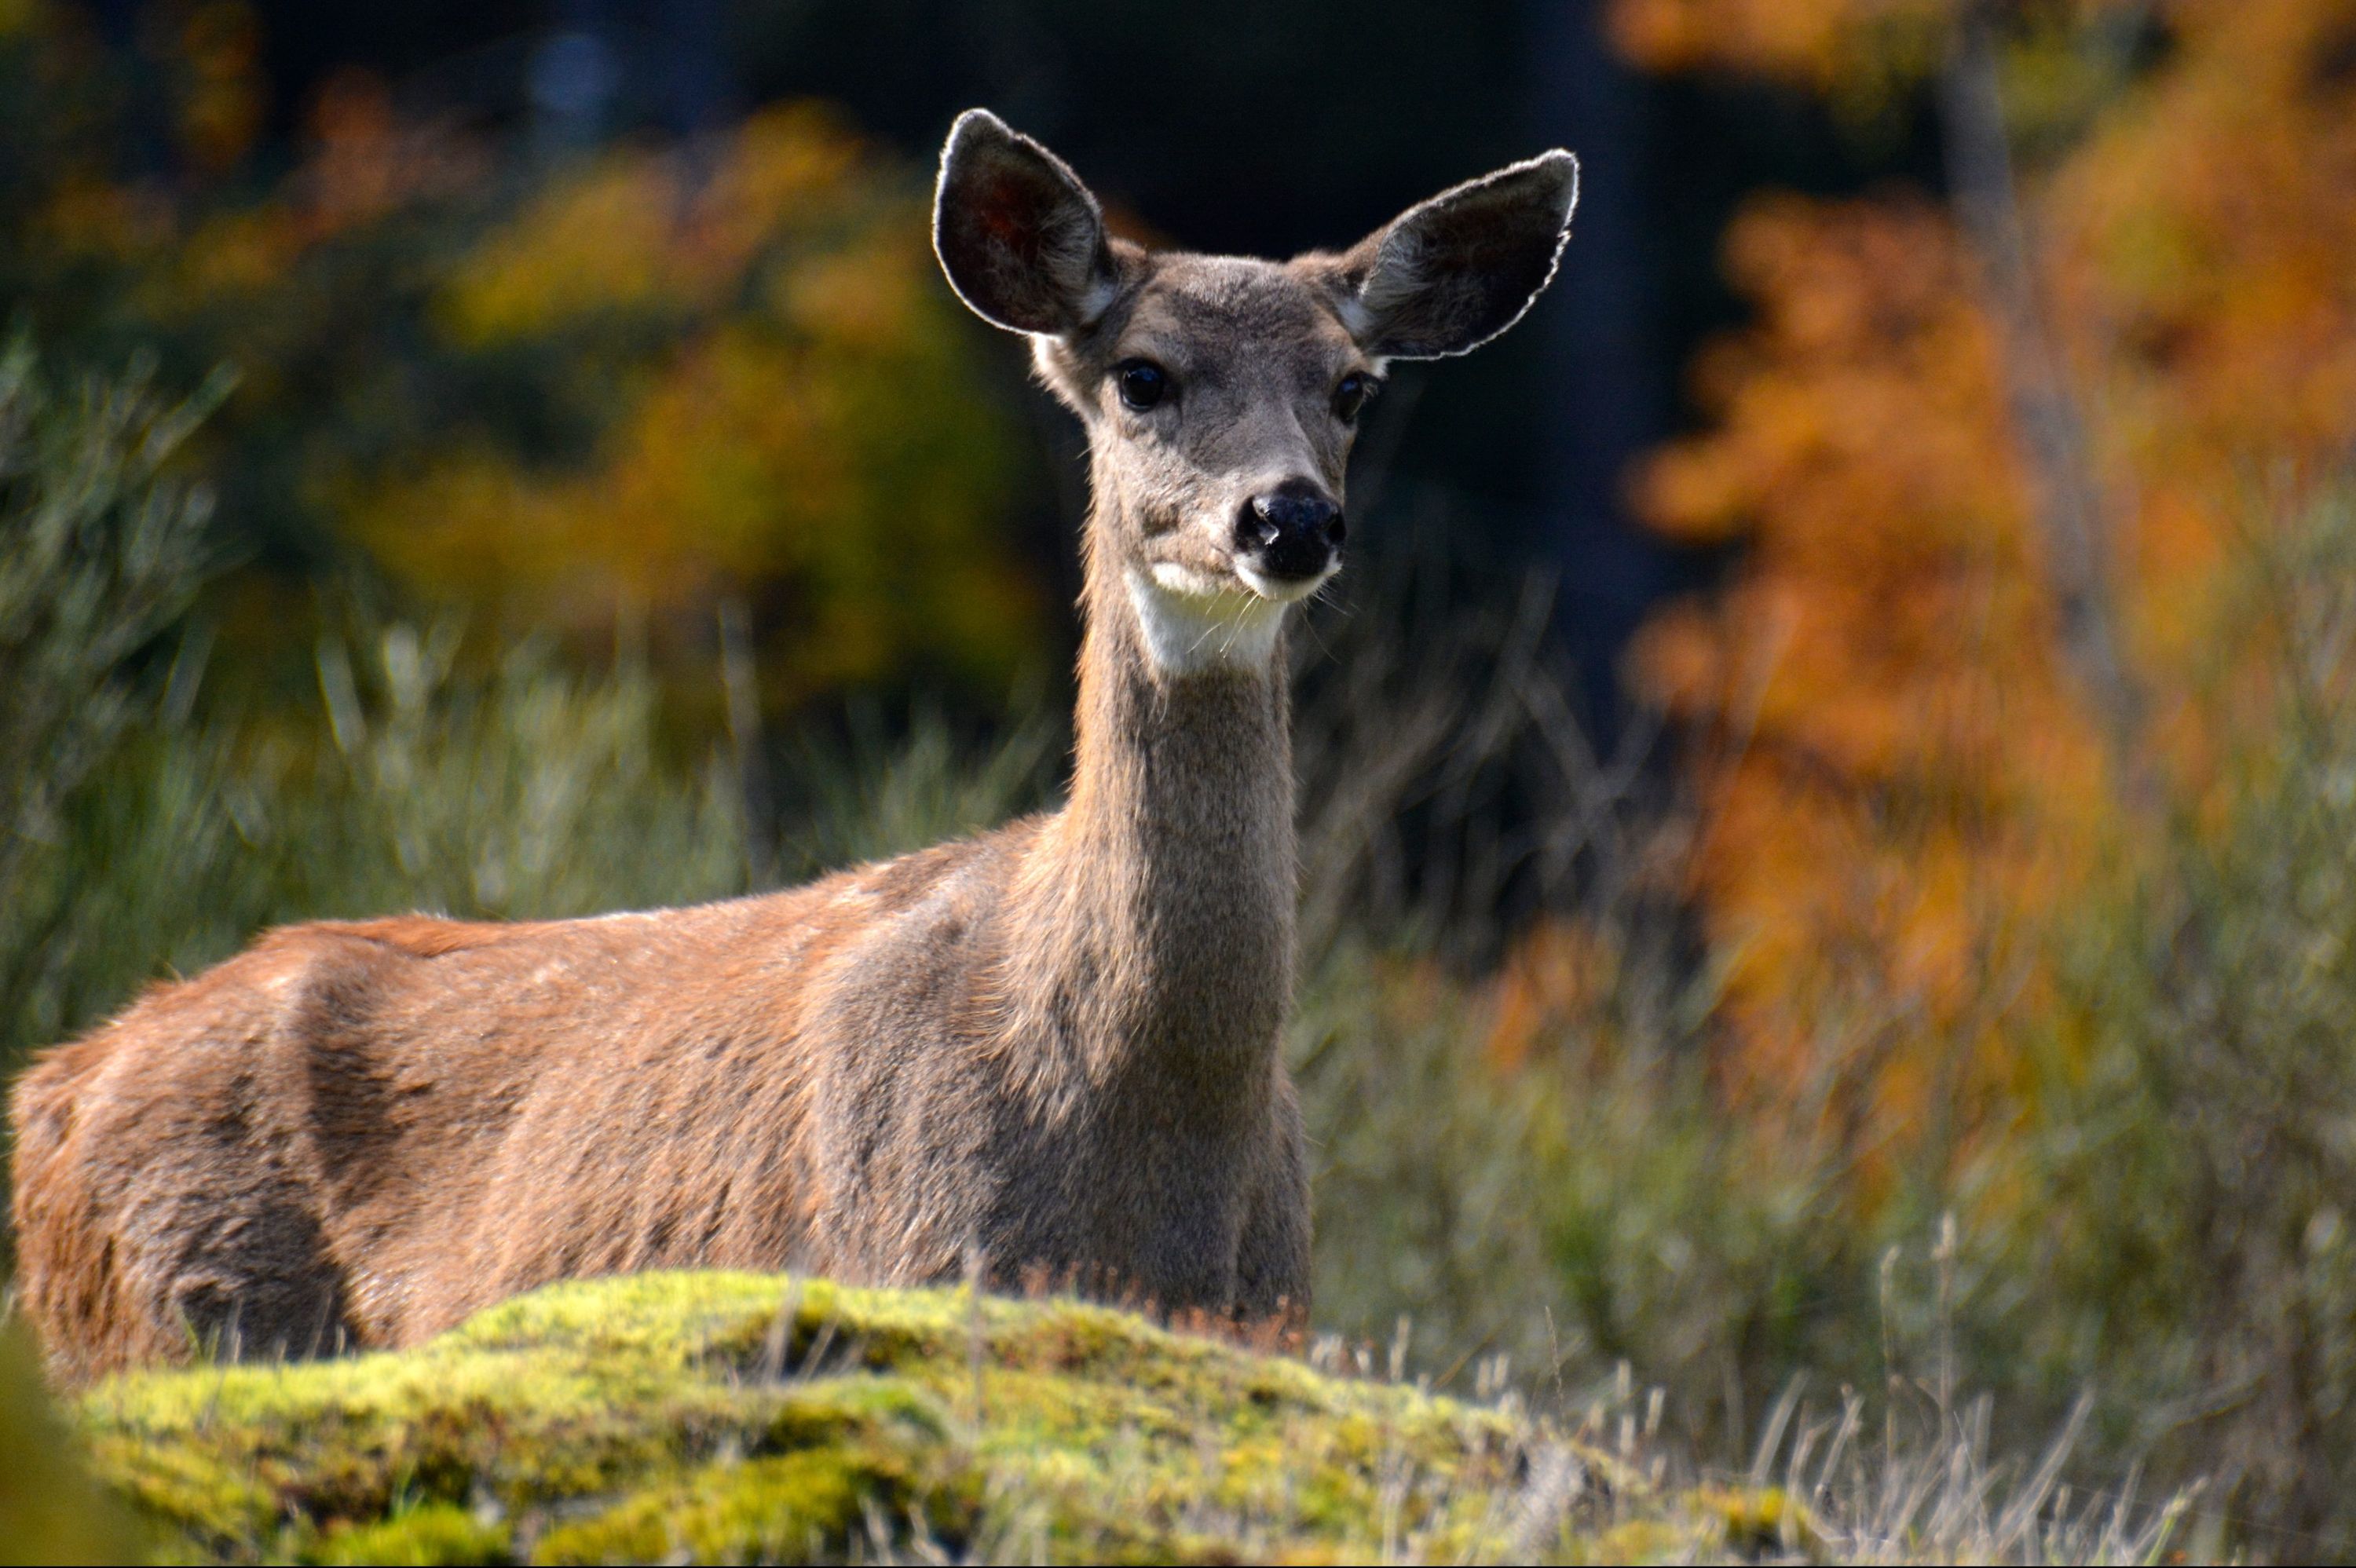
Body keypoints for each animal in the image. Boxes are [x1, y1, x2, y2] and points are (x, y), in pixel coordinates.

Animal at [8, 110, 1578, 1383]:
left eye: (1353, 385)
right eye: (1143, 374)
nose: (1289, 517)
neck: (1148, 1140)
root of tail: (49, 1093)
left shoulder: (1275, 1315)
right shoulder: (912, 1256)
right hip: (167, 1317)